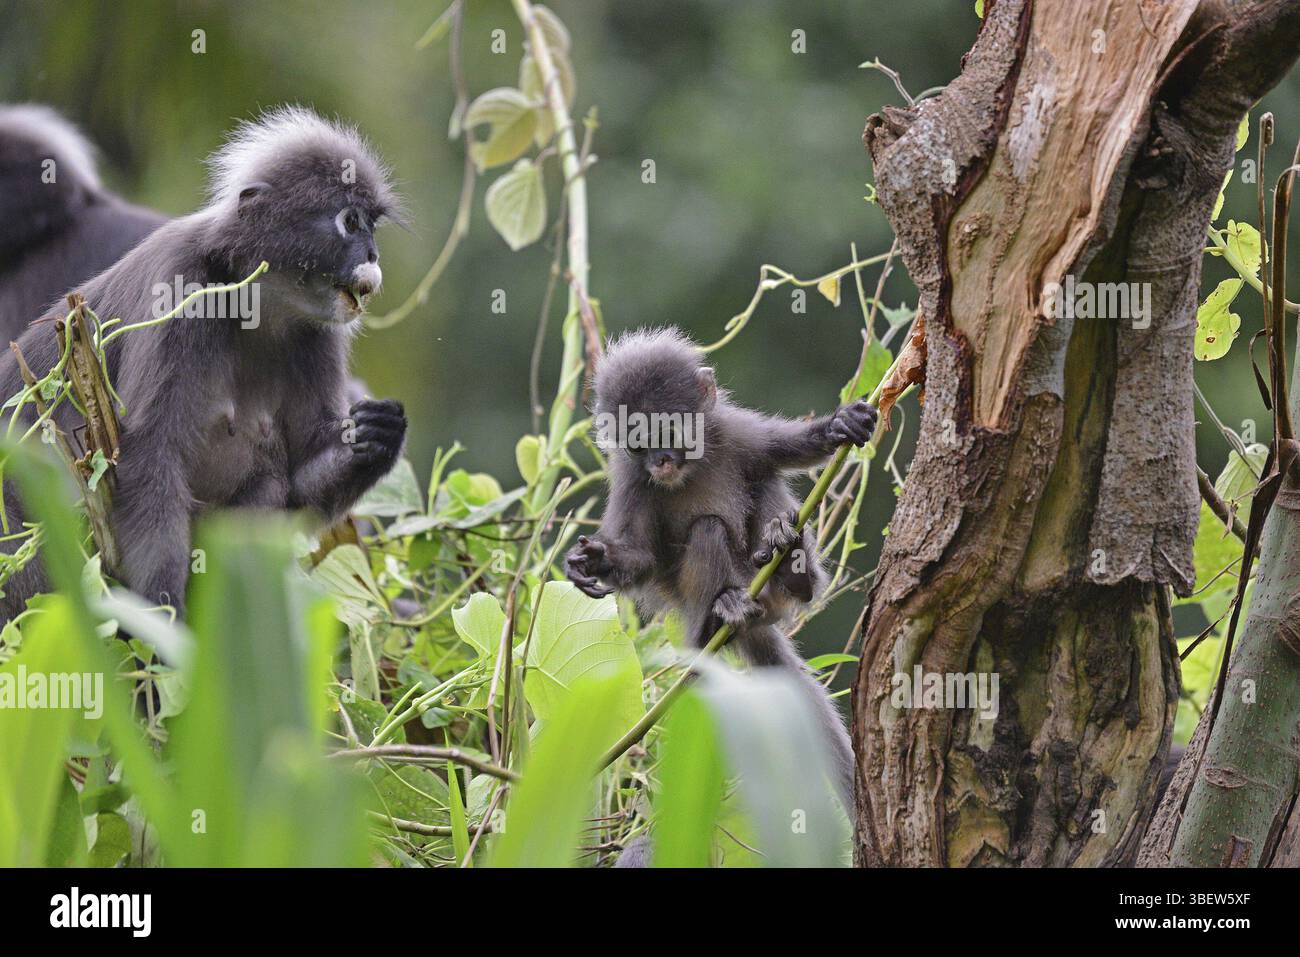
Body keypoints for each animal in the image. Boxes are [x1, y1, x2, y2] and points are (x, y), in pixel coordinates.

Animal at [565, 327, 877, 806]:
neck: (691, 468)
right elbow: (642, 558)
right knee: (708, 529)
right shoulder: (632, 478)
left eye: (668, 429)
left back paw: (794, 573)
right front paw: (597, 561)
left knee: (762, 481)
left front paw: (839, 425)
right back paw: (719, 616)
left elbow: (783, 451)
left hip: (761, 580)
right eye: (639, 442)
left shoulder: (731, 431)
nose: (660, 460)